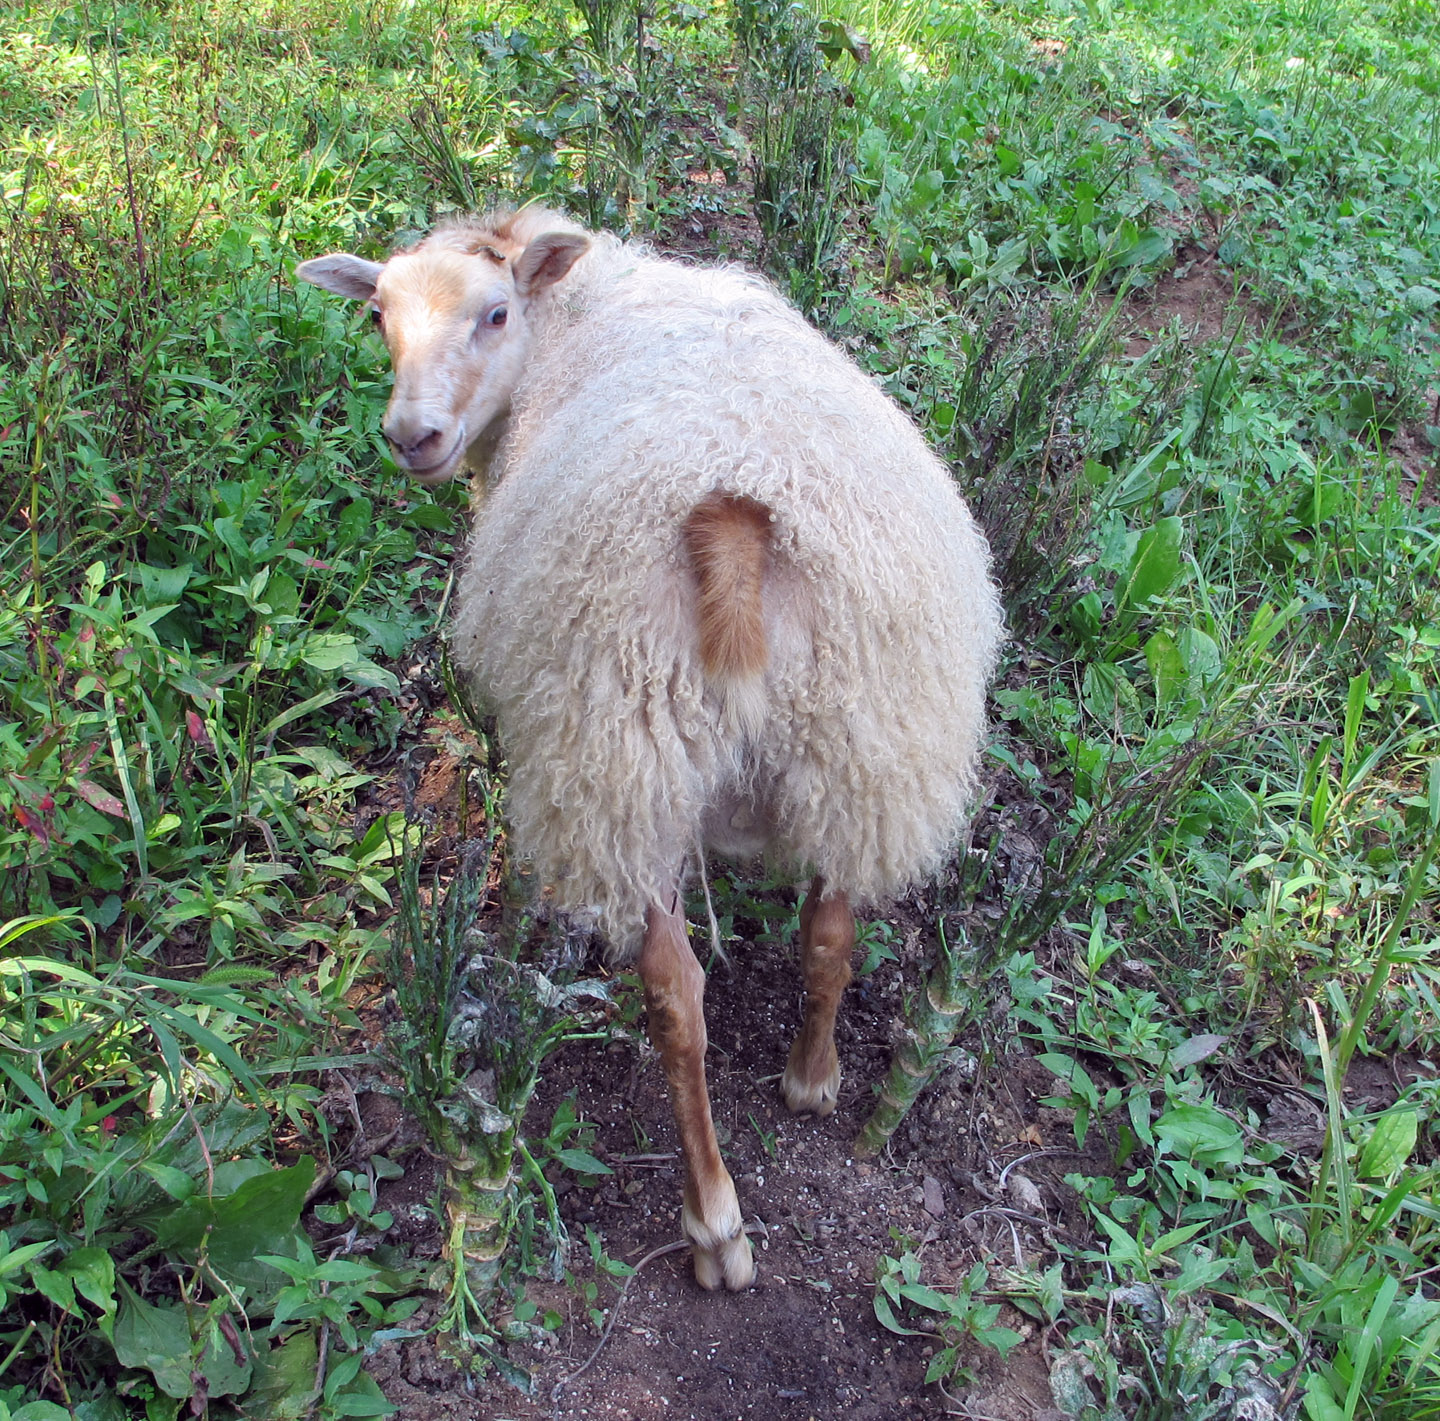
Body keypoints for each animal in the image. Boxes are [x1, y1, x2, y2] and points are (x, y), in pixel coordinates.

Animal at [296, 207, 1004, 1293]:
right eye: (378, 316)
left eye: (492, 313)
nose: (412, 437)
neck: (574, 308)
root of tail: (737, 518)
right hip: (865, 735)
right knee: (831, 926)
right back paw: (813, 1078)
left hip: (623, 758)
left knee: (678, 999)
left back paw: (716, 1222)